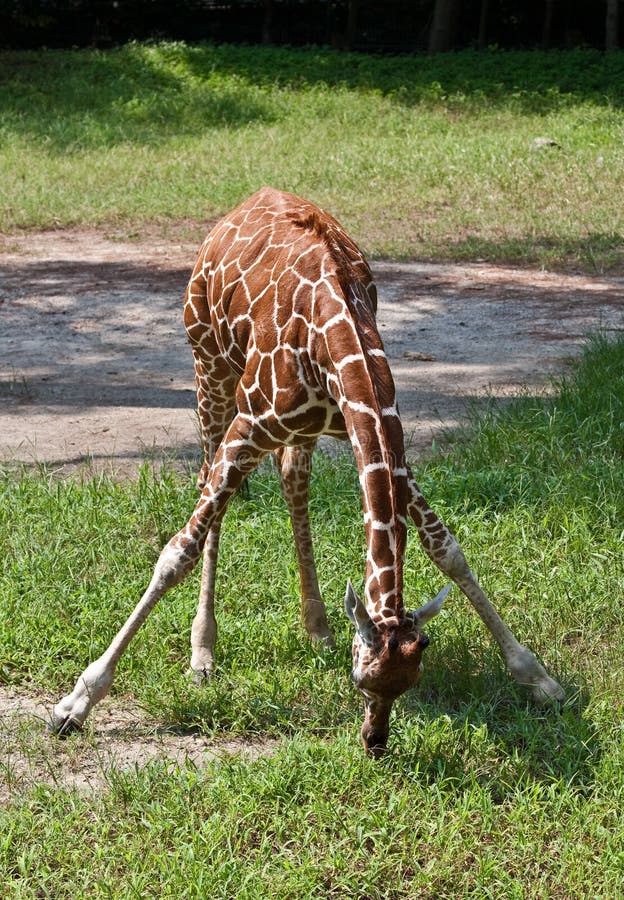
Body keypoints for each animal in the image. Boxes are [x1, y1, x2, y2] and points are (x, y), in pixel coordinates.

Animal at [49, 187, 564, 756]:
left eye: (408, 682)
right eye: (362, 680)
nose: (374, 741)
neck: (339, 341)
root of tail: (244, 204)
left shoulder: (381, 445)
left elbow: (447, 548)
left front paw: (537, 677)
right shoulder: (250, 424)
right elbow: (175, 553)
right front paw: (76, 702)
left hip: (296, 429)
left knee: (292, 480)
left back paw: (316, 627)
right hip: (210, 368)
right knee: (211, 487)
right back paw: (203, 652)